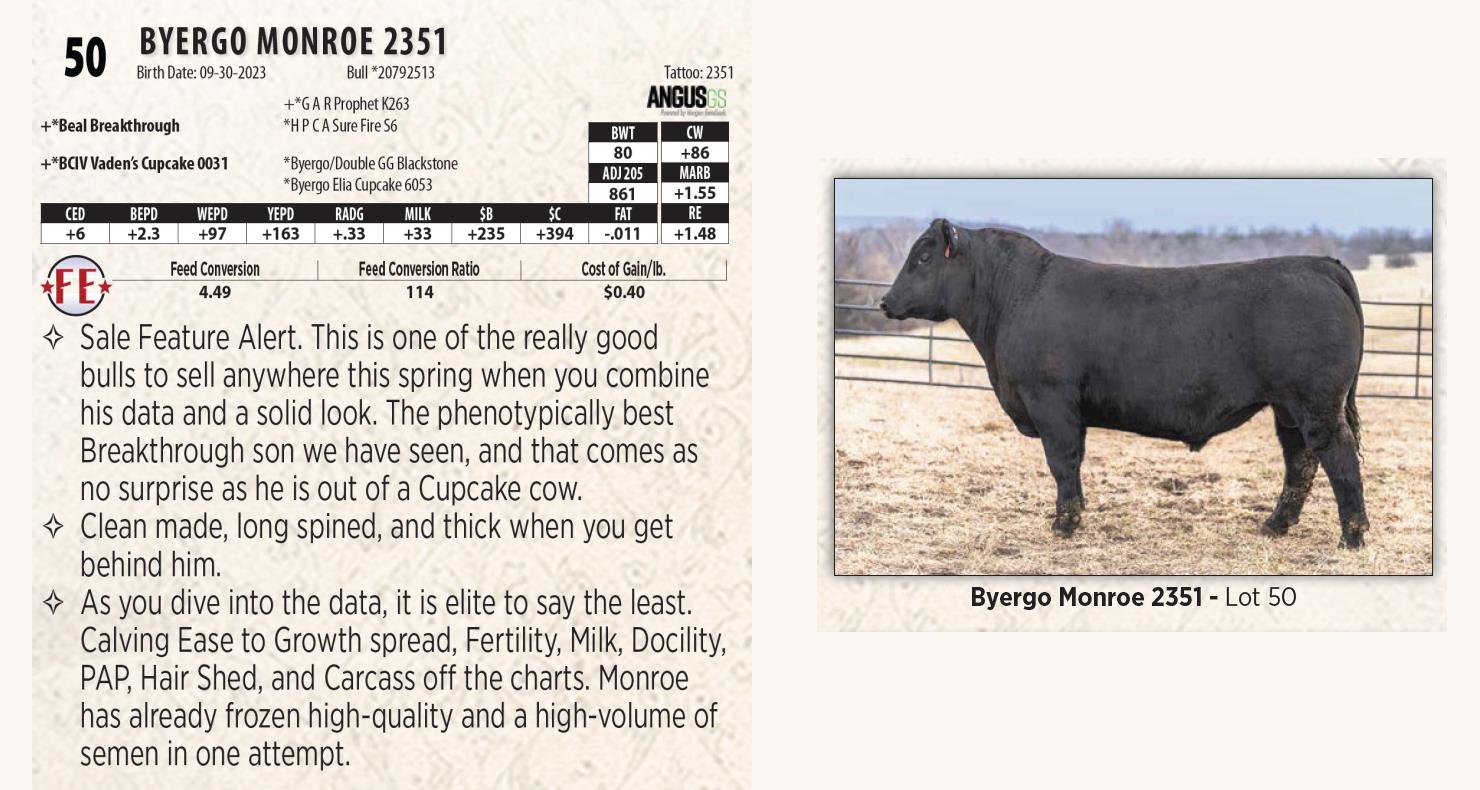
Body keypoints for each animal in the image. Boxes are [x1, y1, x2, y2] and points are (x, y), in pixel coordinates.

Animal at [878, 220, 1369, 548]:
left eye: (923, 257)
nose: (885, 301)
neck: (1010, 300)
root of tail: (1321, 265)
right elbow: (1072, 464)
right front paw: (1073, 517)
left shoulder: (1050, 401)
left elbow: (1062, 463)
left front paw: (1064, 524)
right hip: (1289, 409)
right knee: (1300, 462)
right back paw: (1275, 525)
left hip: (1316, 403)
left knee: (1338, 457)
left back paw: (1353, 536)